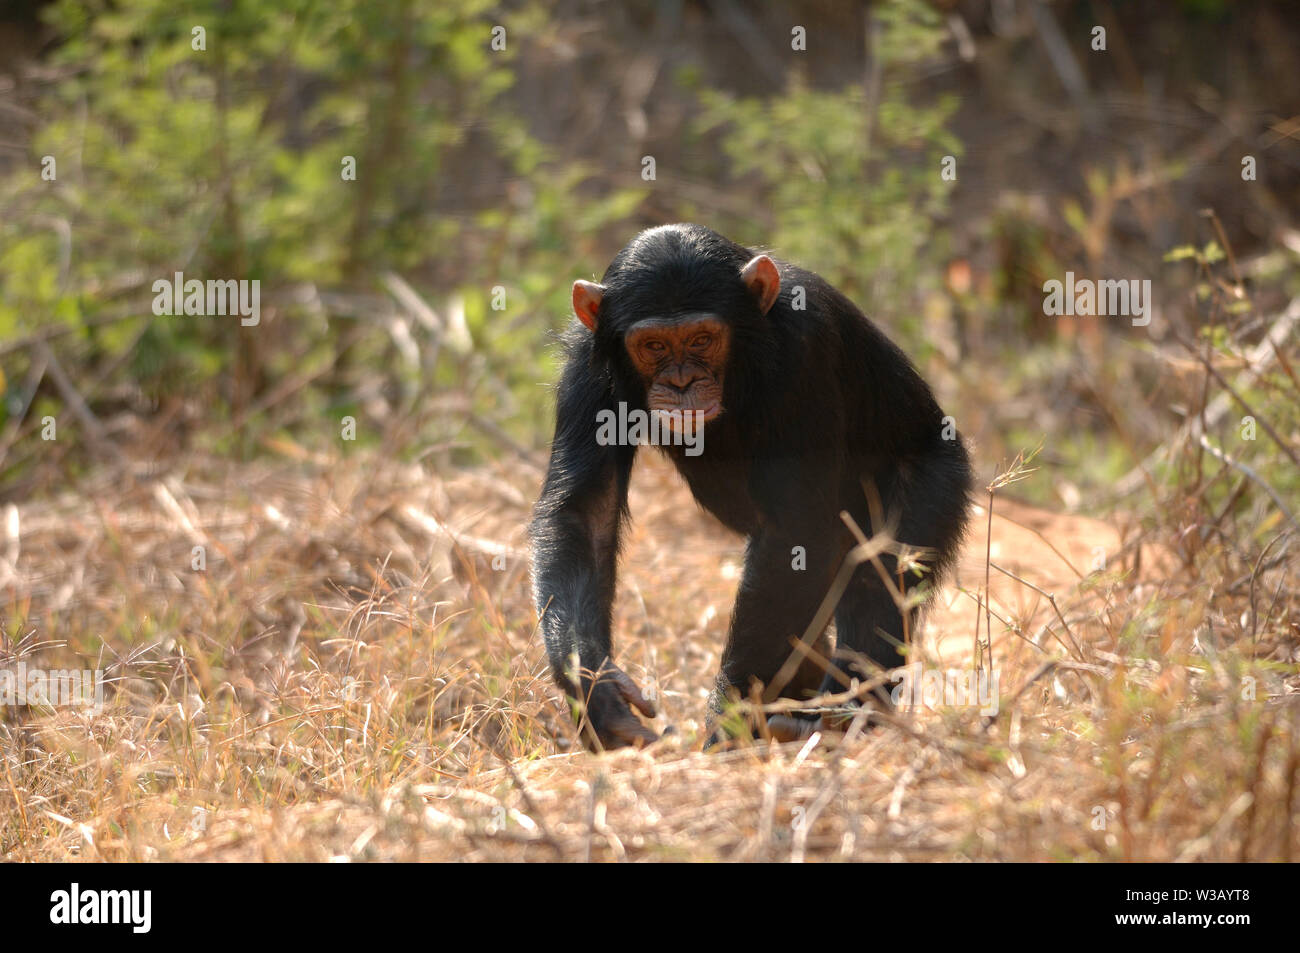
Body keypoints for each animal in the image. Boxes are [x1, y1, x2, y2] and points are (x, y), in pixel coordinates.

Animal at [529, 224, 972, 749]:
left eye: (702, 339)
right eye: (654, 345)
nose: (682, 382)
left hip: (936, 478)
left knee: (881, 582)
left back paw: (844, 720)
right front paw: (597, 692)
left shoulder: (806, 346)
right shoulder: (585, 360)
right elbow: (585, 511)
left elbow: (796, 530)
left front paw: (731, 722)